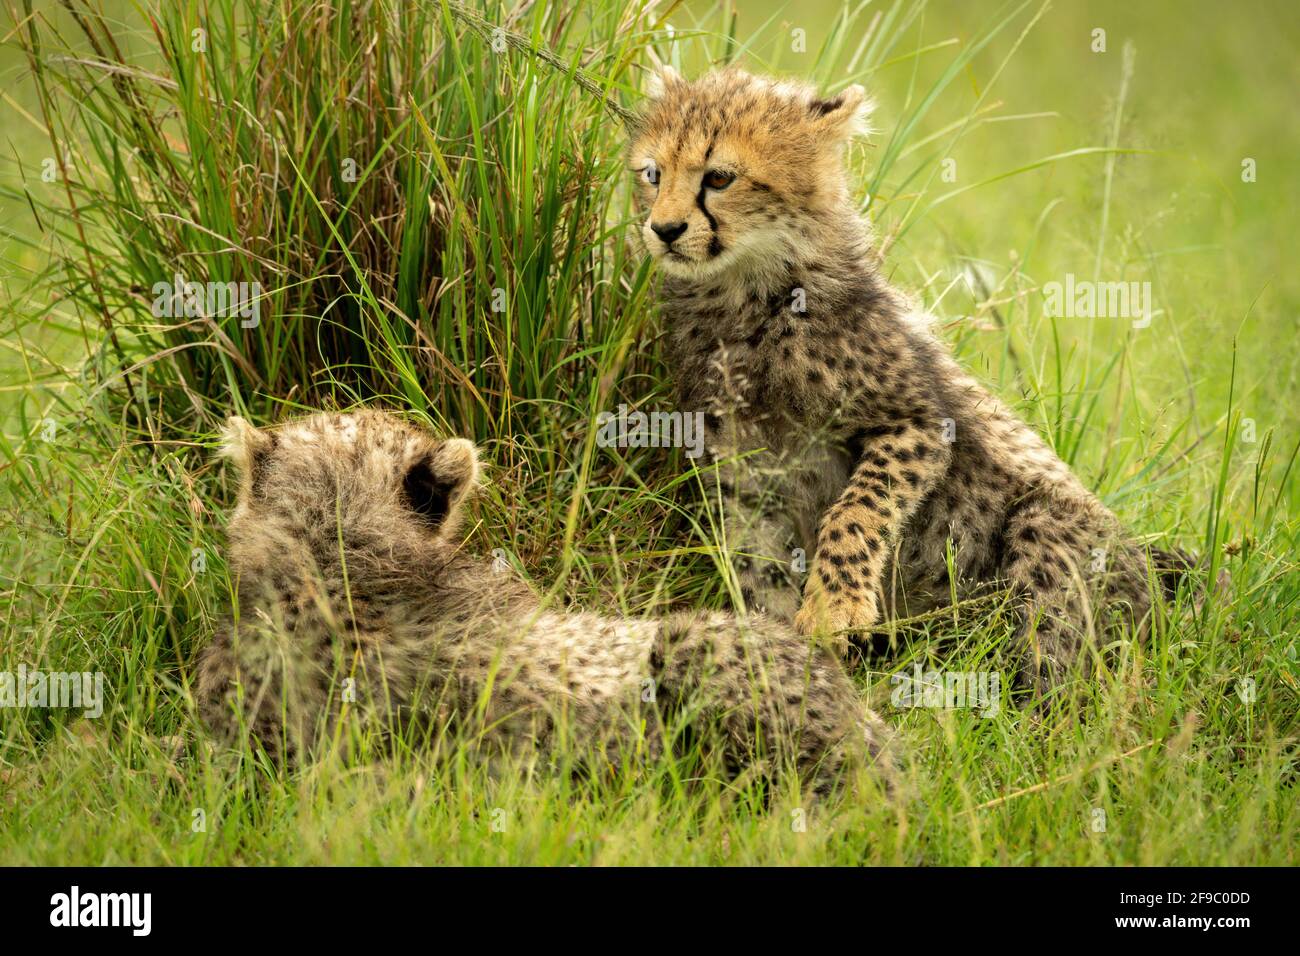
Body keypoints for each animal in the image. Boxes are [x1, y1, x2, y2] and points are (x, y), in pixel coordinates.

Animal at [627, 66, 1194, 696]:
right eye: (653, 174)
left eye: (720, 177)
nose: (664, 228)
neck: (744, 295)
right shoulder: (743, 465)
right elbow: (755, 558)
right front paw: (773, 657)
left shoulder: (917, 422)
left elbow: (857, 510)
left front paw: (834, 607)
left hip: (1052, 528)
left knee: (1060, 666)